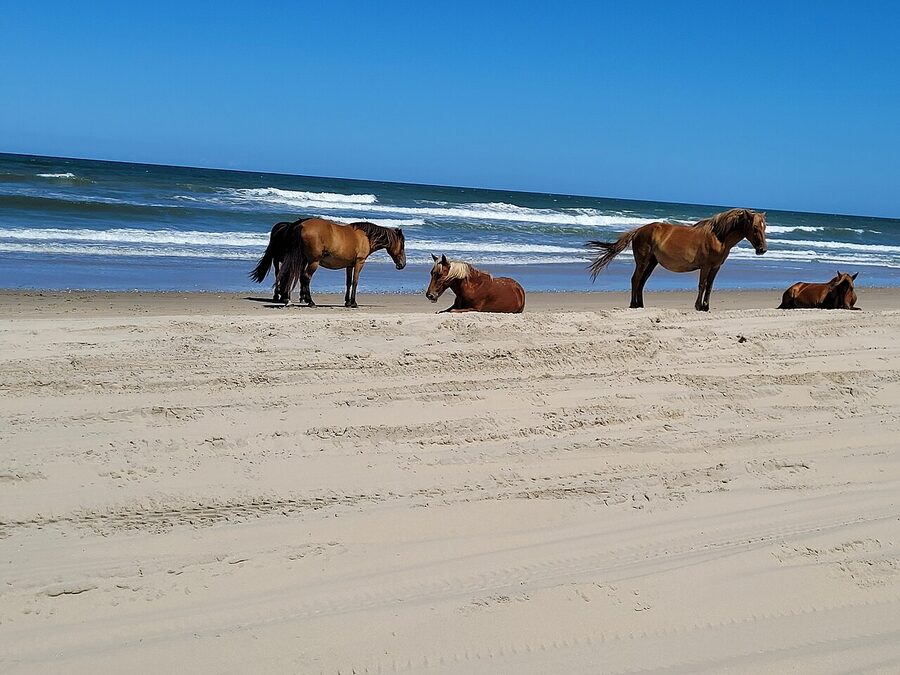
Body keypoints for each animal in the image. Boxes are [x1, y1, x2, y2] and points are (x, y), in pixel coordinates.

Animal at [275, 217, 406, 307]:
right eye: (402, 245)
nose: (402, 264)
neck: (365, 237)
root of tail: (301, 225)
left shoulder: (349, 265)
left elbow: (348, 282)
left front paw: (348, 302)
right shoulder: (359, 263)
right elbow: (355, 282)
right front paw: (354, 303)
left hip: (303, 260)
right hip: (313, 262)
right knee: (305, 277)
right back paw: (310, 301)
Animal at [586, 208, 768, 311]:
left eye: (765, 227)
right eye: (754, 227)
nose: (762, 250)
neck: (718, 237)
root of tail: (639, 230)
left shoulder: (716, 267)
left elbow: (709, 287)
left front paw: (706, 307)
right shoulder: (706, 266)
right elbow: (702, 285)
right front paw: (698, 306)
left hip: (652, 263)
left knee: (642, 282)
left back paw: (640, 305)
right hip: (643, 262)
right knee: (635, 279)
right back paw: (633, 304)